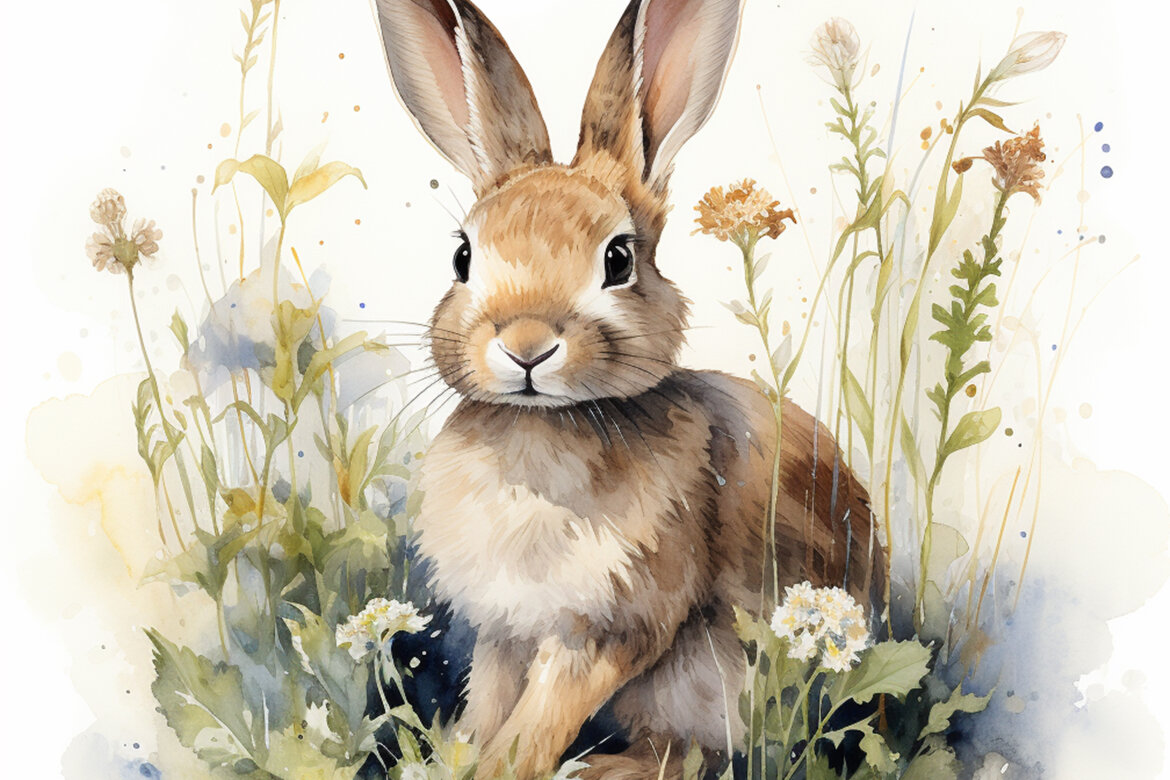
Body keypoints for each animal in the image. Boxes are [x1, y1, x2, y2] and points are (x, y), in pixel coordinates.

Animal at [373, 1, 884, 778]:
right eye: (462, 256)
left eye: (618, 259)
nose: (526, 345)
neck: (542, 427)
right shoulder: (506, 629)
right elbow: (489, 706)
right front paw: (453, 759)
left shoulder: (613, 625)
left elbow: (535, 726)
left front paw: (502, 767)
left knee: (693, 757)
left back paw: (597, 768)